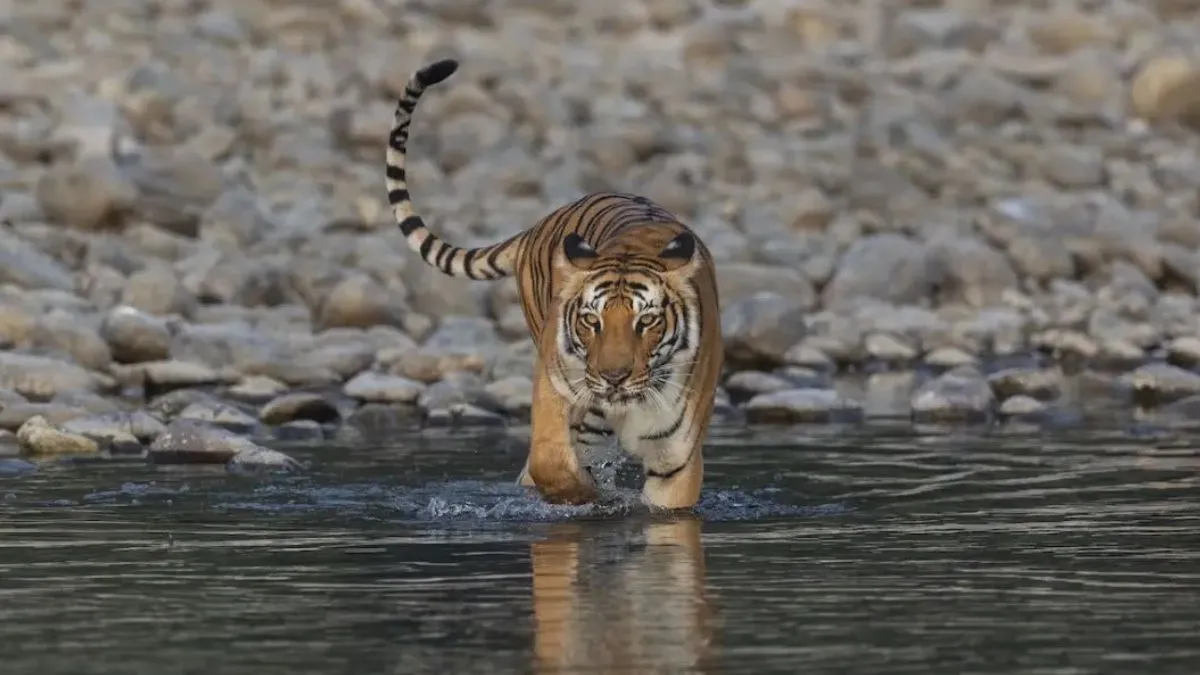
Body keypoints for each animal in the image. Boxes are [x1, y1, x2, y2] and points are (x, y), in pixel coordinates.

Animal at [383, 58, 723, 510]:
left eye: (646, 322)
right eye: (591, 321)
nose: (614, 378)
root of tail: (537, 224)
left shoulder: (676, 462)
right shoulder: (555, 391)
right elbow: (551, 465)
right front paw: (587, 496)